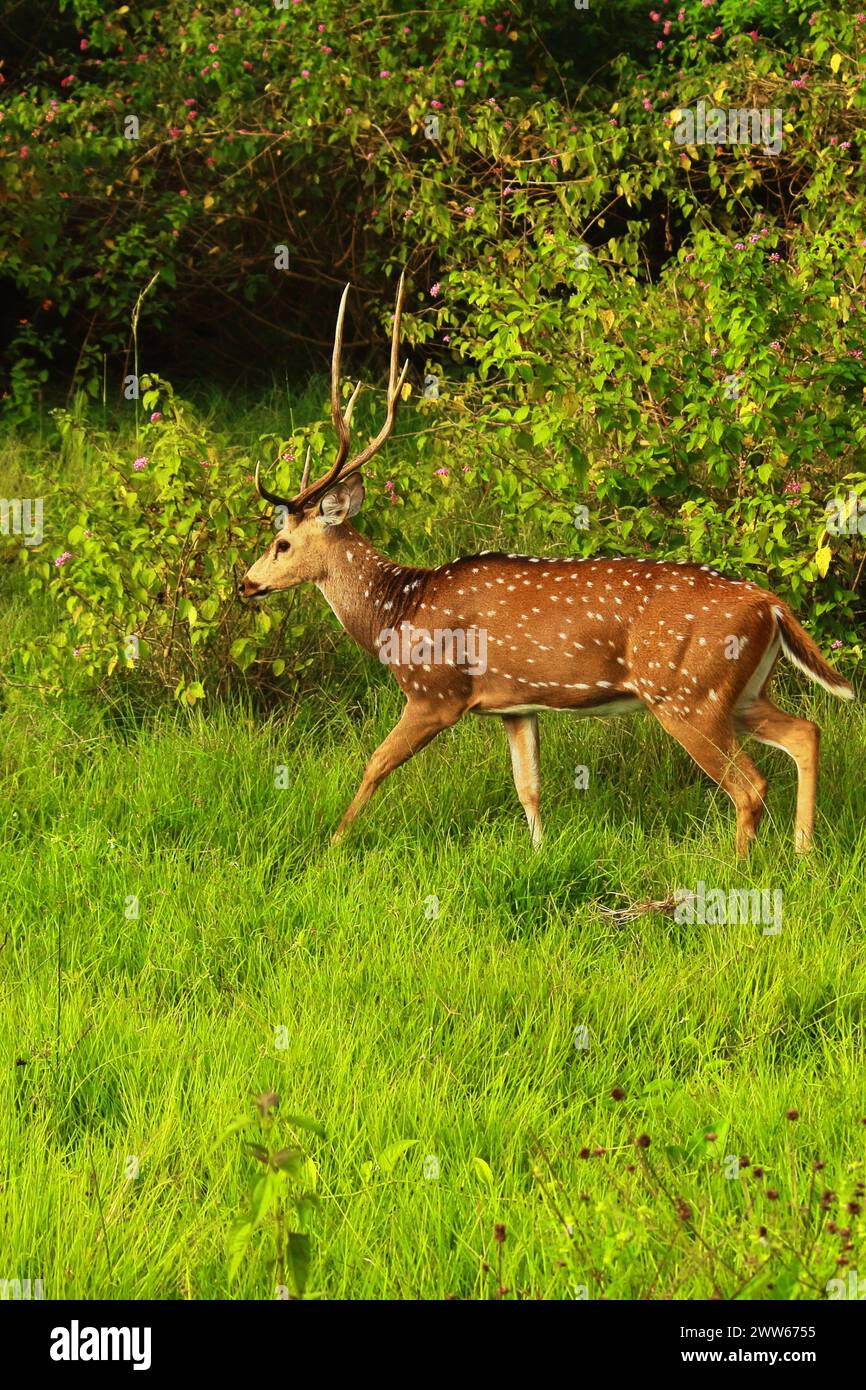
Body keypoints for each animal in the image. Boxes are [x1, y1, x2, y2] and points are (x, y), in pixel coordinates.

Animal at [240, 275, 854, 855]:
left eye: (281, 543)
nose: (245, 584)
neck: (397, 612)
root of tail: (772, 605)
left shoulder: (436, 692)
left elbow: (373, 766)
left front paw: (334, 841)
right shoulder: (515, 705)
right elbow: (528, 786)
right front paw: (539, 851)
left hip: (686, 692)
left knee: (749, 785)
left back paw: (739, 865)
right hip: (743, 690)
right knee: (807, 732)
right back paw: (803, 852)